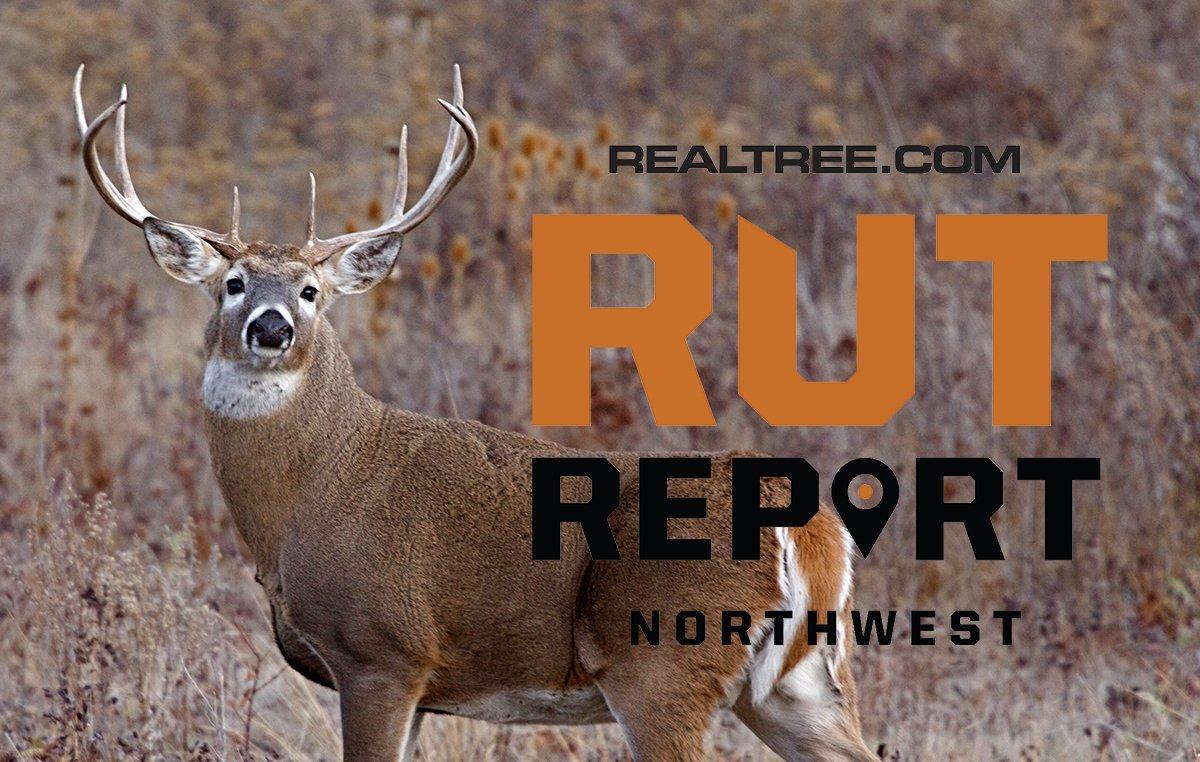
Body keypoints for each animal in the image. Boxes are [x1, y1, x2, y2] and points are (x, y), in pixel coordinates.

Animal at [72, 64, 876, 761]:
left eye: (310, 291)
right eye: (232, 283)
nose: (270, 328)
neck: (312, 488)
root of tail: (809, 525)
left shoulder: (383, 650)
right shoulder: (425, 689)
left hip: (661, 665)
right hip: (798, 687)